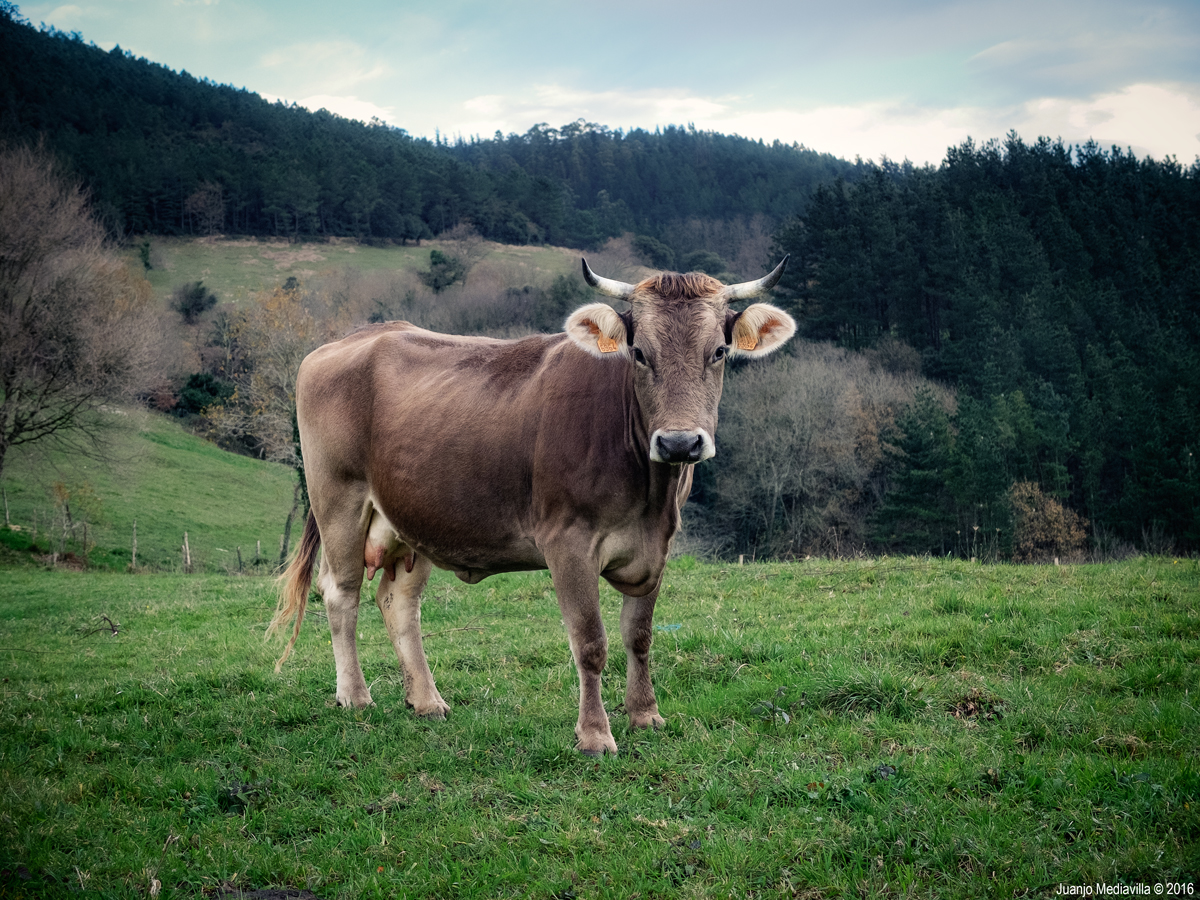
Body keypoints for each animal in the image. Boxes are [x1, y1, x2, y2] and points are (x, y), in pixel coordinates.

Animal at [269, 257, 796, 755]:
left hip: (413, 519)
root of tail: (354, 338)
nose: (680, 442)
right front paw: (594, 735)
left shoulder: (656, 547)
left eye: (719, 351)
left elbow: (640, 635)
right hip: (339, 501)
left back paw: (426, 700)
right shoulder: (568, 543)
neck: (650, 495)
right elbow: (590, 642)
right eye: (640, 352)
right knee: (342, 593)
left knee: (398, 602)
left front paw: (645, 715)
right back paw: (355, 696)